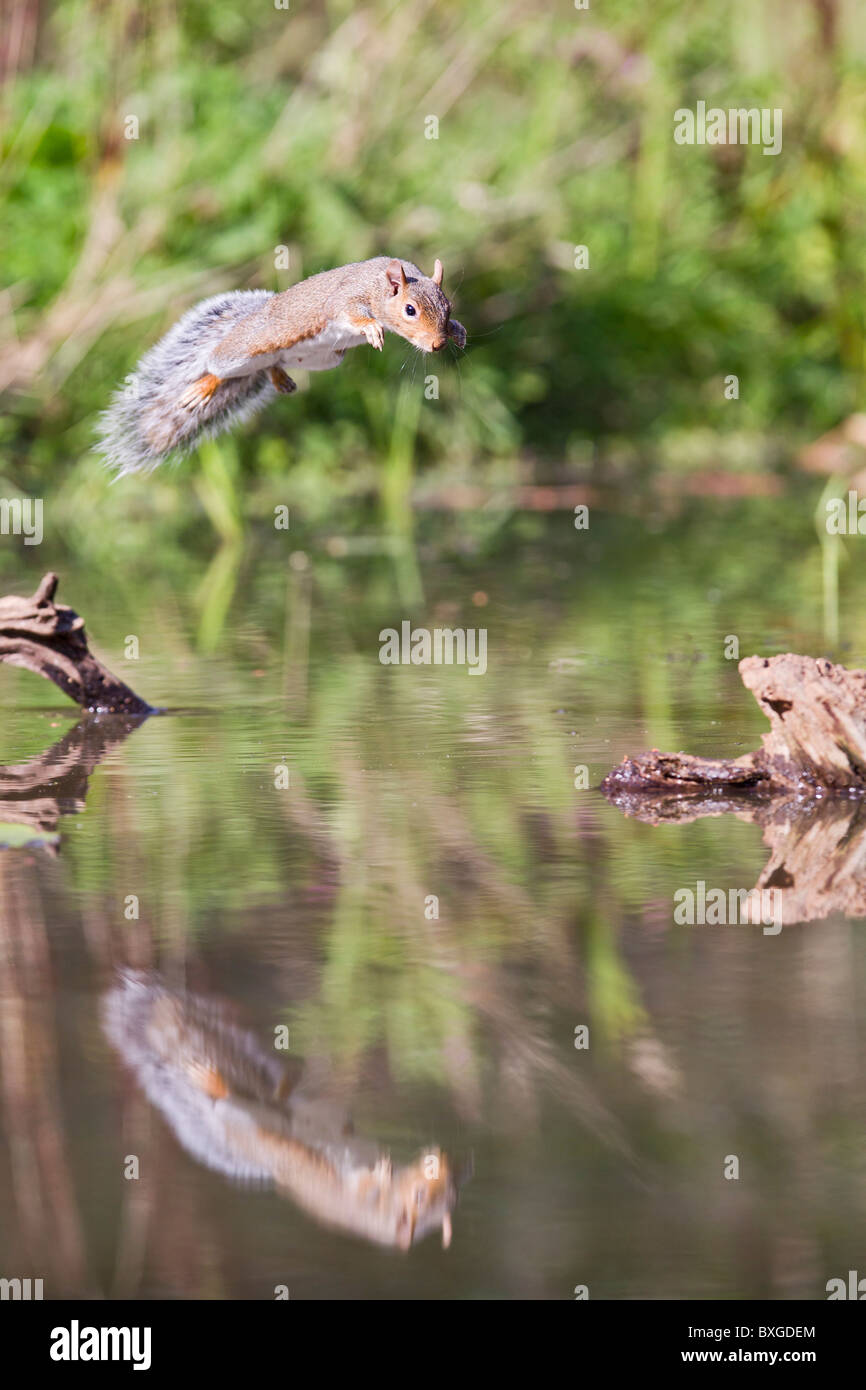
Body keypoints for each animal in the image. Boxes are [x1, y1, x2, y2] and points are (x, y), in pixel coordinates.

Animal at [97, 256, 467, 476]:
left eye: (448, 305)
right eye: (409, 310)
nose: (437, 344)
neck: (378, 283)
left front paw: (458, 331)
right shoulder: (345, 299)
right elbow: (350, 313)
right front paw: (373, 329)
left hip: (323, 357)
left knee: (272, 364)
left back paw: (278, 376)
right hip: (240, 351)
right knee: (216, 365)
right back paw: (204, 385)